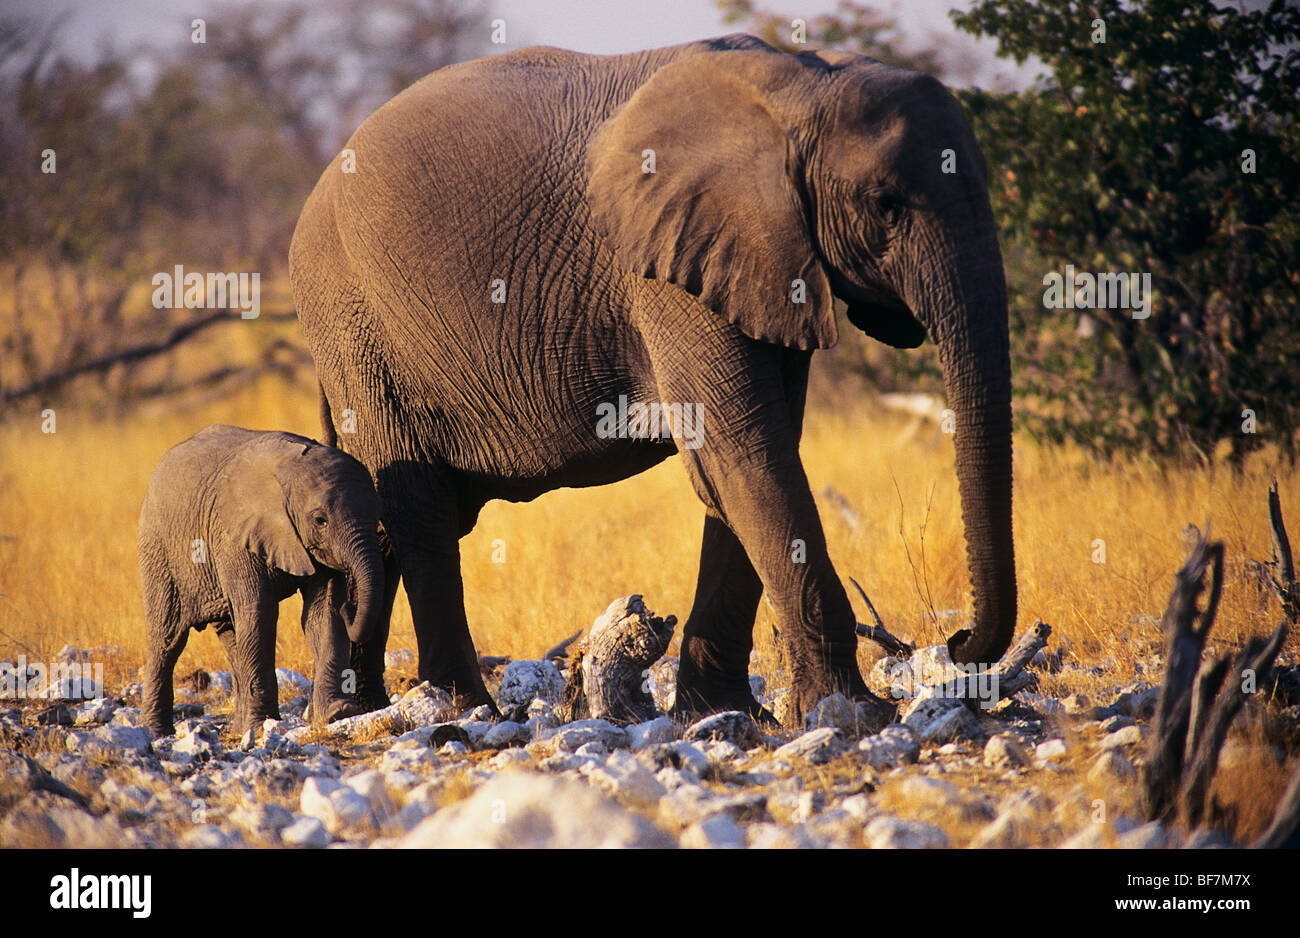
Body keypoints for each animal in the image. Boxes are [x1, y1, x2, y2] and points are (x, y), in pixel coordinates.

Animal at [138, 425, 388, 737]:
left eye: (378, 515)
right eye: (320, 520)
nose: (351, 608)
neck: (288, 472)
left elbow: (323, 615)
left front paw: (337, 713)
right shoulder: (233, 537)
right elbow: (261, 614)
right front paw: (262, 726)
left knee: (231, 637)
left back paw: (237, 729)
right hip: (157, 549)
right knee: (167, 637)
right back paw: (156, 732)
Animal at [289, 34, 1017, 728]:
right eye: (885, 205)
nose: (956, 642)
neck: (796, 87)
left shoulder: (755, 261)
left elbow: (750, 458)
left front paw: (722, 711)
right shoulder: (666, 271)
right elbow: (744, 454)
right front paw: (852, 711)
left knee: (377, 515)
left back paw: (352, 709)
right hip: (355, 319)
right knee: (419, 509)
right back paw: (461, 709)